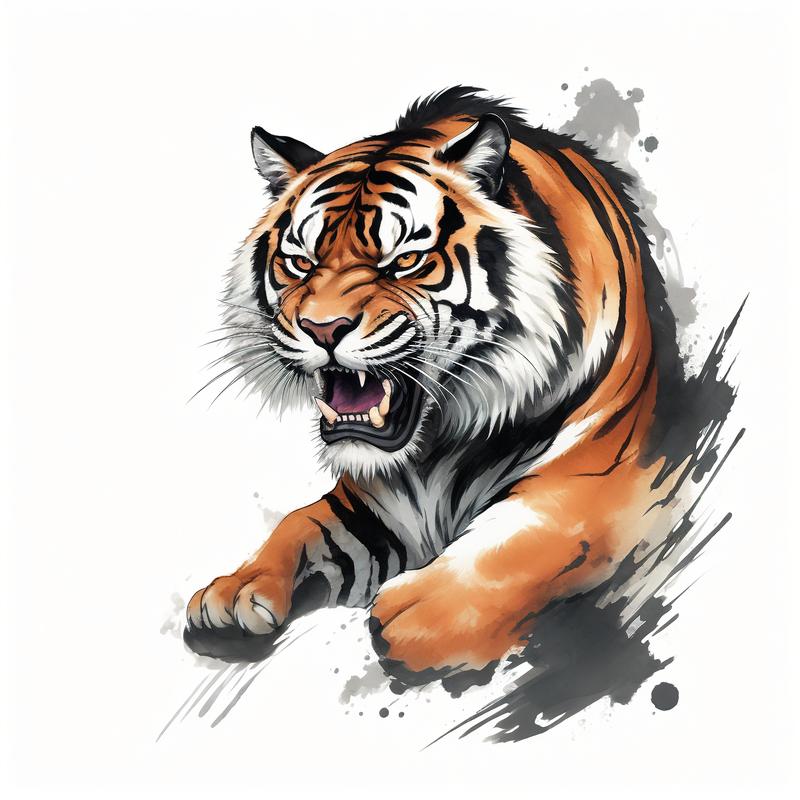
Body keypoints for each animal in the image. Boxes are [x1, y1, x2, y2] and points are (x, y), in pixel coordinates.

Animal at [186, 86, 684, 678]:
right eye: (301, 263)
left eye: (404, 260)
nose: (322, 327)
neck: (437, 446)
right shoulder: (372, 507)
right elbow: (298, 524)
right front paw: (234, 592)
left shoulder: (599, 475)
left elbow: (532, 538)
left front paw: (413, 613)